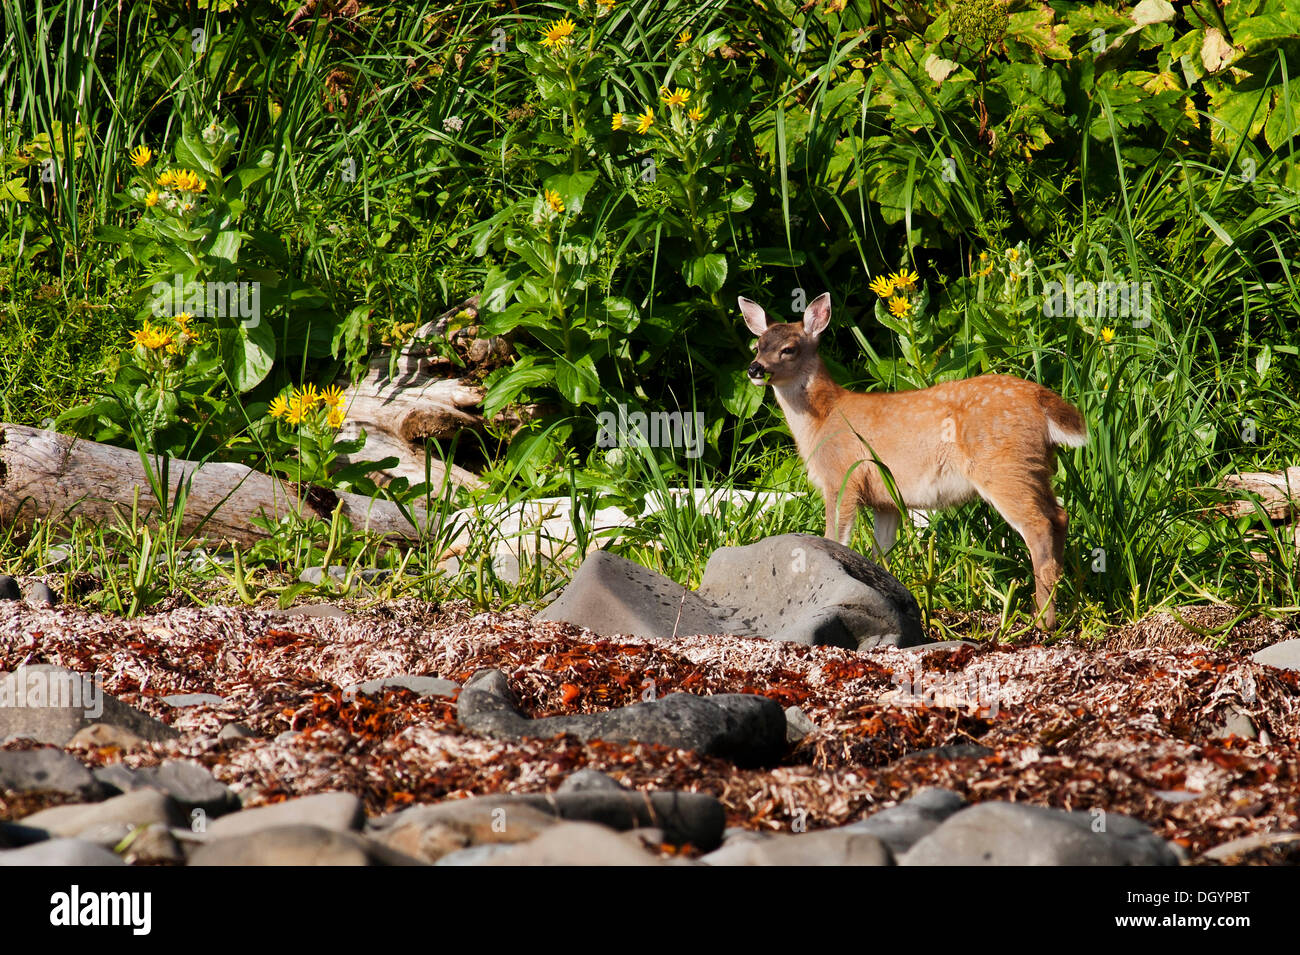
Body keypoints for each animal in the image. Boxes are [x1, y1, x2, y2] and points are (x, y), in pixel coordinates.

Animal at [739, 291, 1087, 630]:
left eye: (788, 349)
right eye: (757, 346)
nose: (755, 369)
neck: (821, 421)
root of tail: (1042, 401)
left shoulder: (843, 477)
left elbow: (836, 538)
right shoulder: (885, 499)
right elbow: (881, 553)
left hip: (1004, 467)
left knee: (1039, 525)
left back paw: (1041, 621)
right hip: (1034, 467)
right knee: (1060, 515)